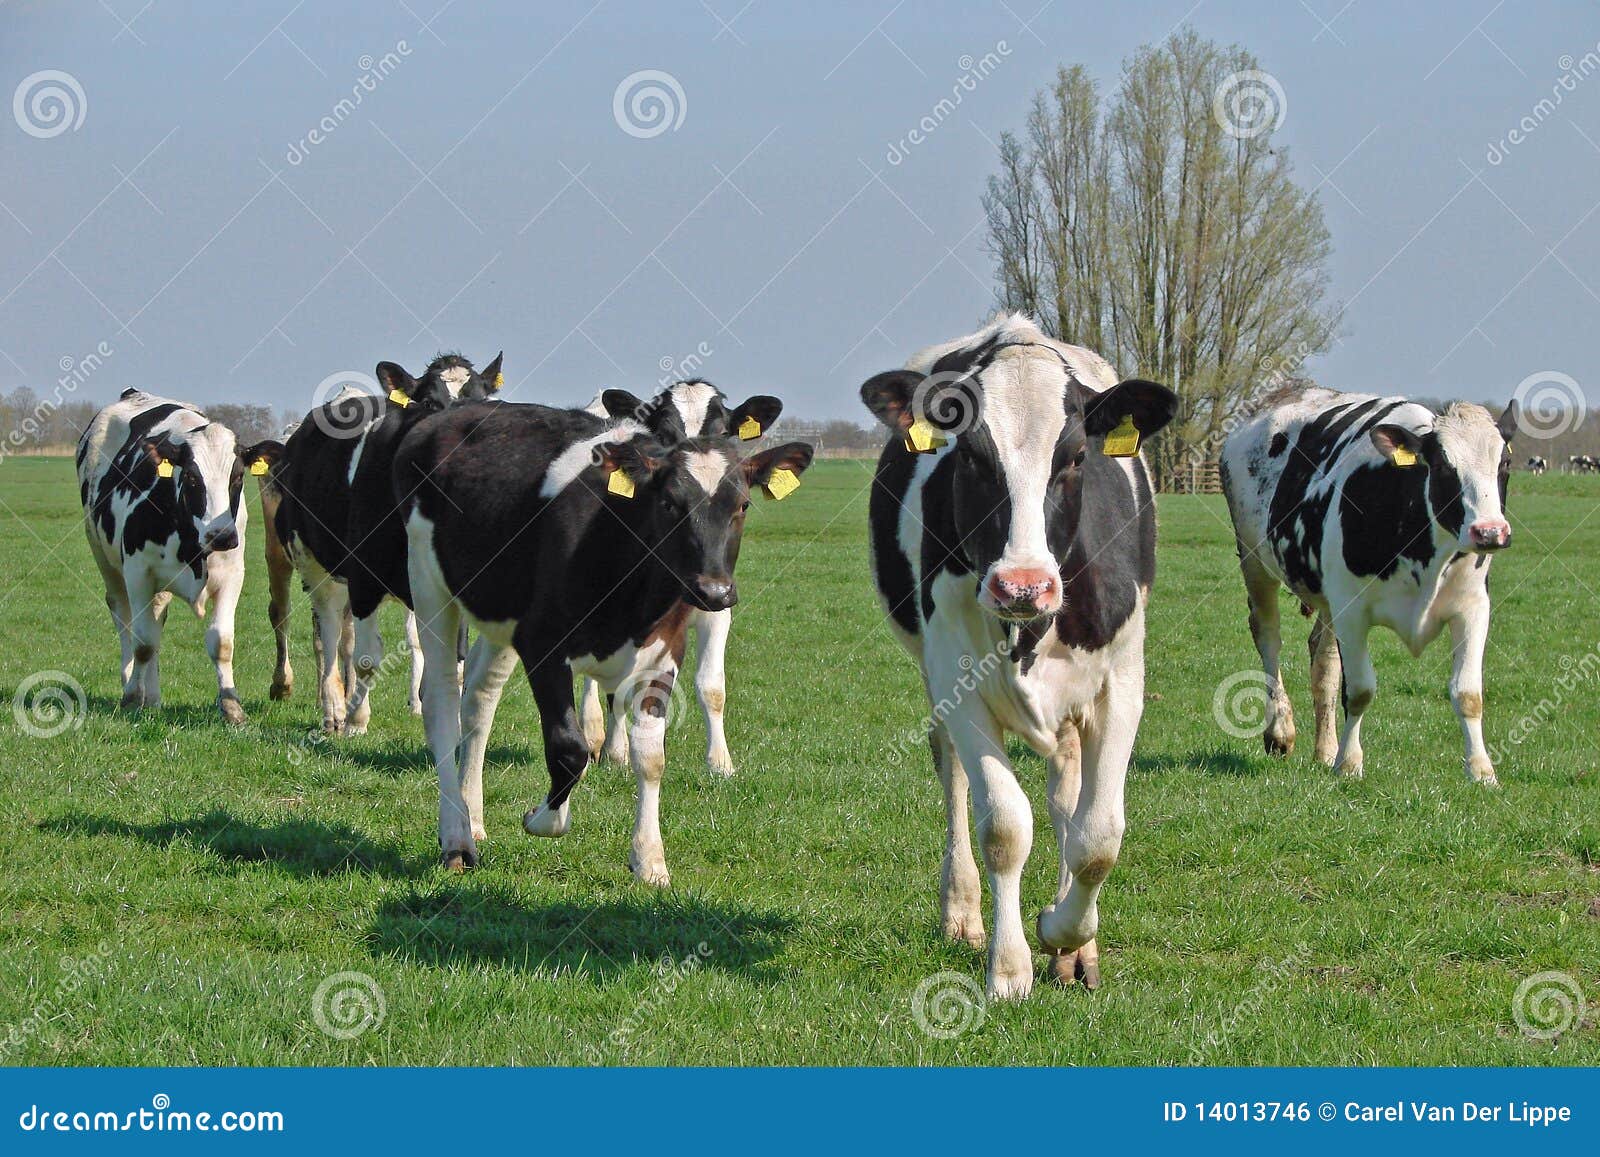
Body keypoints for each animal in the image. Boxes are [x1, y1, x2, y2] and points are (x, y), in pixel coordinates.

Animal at [76, 390, 251, 724]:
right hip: (103, 556)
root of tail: (134, 393)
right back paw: (133, 685)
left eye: (237, 477)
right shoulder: (138, 573)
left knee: (156, 619)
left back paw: (154, 698)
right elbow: (143, 642)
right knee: (125, 619)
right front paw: (132, 699)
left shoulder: (233, 575)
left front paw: (231, 706)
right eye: (193, 478)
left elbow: (221, 642)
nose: (222, 535)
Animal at [270, 352, 500, 734]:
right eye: (429, 403)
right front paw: (356, 721)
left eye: (485, 403)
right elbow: (366, 659)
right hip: (314, 564)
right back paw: (333, 710)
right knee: (329, 633)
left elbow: (455, 663)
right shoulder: (363, 577)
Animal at [575, 380, 785, 776]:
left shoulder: (718, 603)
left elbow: (712, 687)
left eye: (722, 432)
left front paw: (720, 763)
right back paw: (597, 736)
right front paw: (616, 752)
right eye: (664, 435)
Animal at [860, 314, 1177, 998]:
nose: (1023, 586)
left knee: (1066, 796)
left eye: (1076, 457)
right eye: (971, 456)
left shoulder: (1121, 683)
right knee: (954, 775)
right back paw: (962, 913)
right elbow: (1004, 826)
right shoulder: (957, 679)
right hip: (933, 675)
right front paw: (1009, 967)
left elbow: (1097, 835)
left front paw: (1064, 932)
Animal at [1220, 389, 1518, 786]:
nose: (1489, 532)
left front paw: (1482, 771)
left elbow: (1469, 694)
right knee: (1268, 636)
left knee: (1323, 660)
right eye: (1442, 466)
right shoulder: (1352, 610)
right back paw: (1281, 731)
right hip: (1254, 560)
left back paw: (1326, 749)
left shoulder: (1473, 608)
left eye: (1504, 464)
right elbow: (1360, 690)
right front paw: (1349, 764)